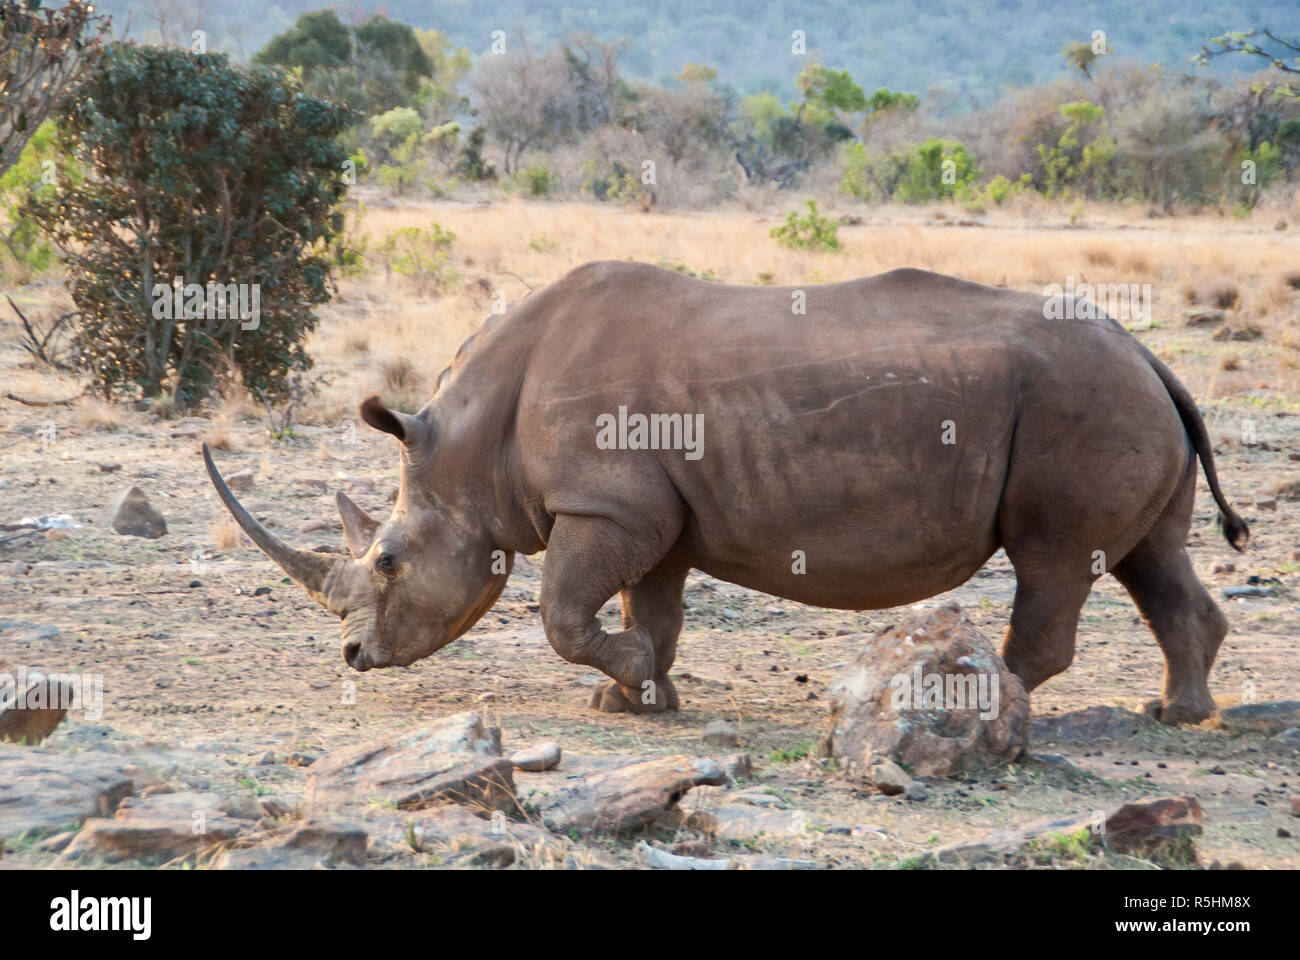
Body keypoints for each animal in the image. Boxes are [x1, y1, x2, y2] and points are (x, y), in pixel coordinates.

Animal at [203, 261, 1248, 724]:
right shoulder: (651, 514)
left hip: (1084, 403)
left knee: (1054, 558)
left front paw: (627, 685)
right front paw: (635, 698)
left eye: (386, 561)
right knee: (1150, 559)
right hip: (1123, 401)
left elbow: (561, 613)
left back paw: (985, 711)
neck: (469, 447)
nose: (353, 656)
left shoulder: (606, 503)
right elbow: (652, 611)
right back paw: (1177, 715)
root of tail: (1152, 355)